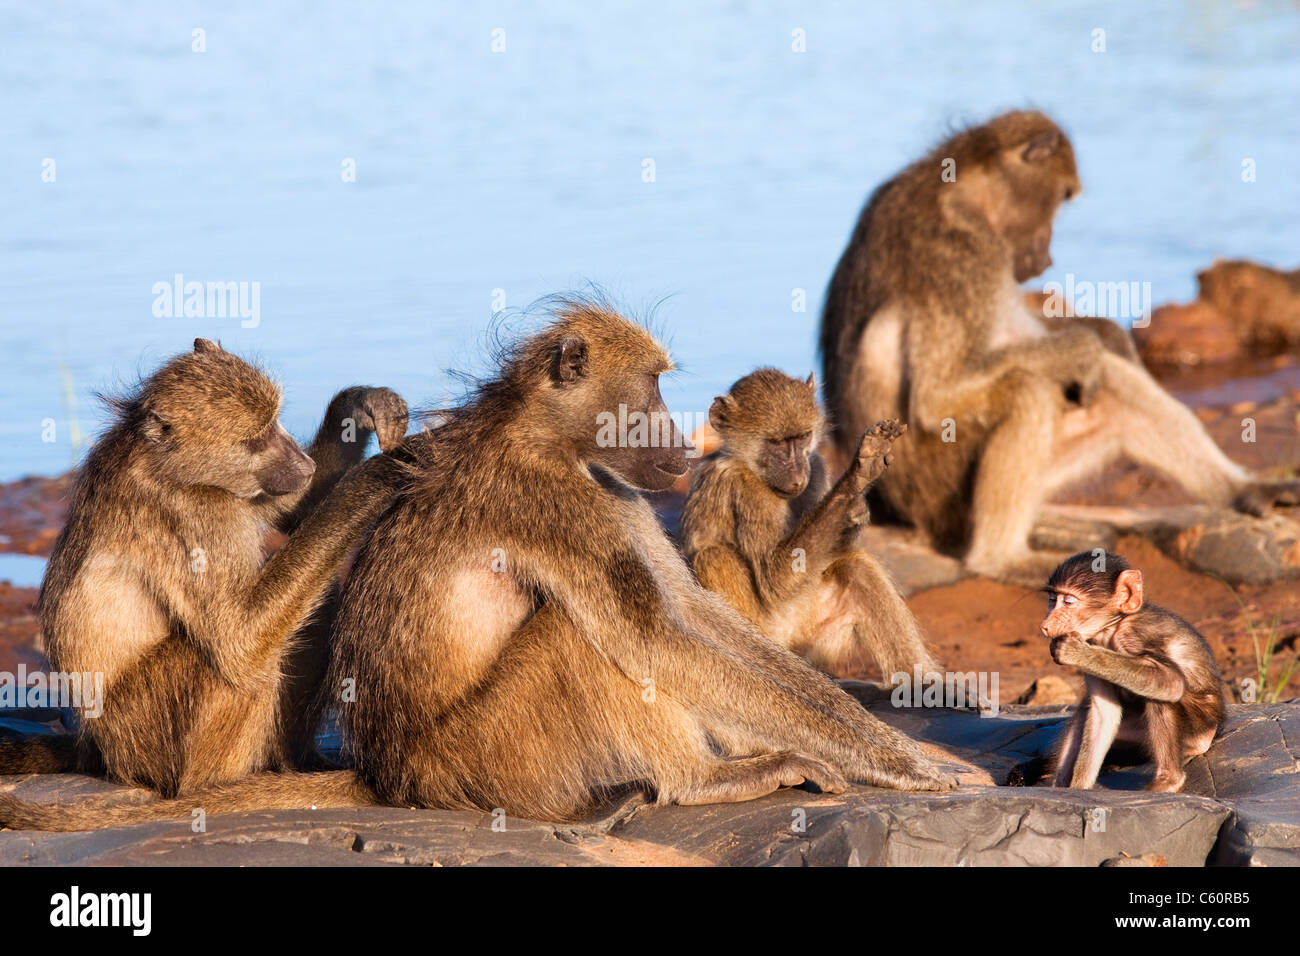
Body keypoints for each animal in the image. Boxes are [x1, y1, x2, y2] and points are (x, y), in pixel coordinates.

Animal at [0, 339, 408, 800]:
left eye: (275, 422)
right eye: (254, 439)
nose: (304, 466)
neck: (169, 464)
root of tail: (100, 752)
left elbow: (296, 506)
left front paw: (362, 404)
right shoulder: (198, 513)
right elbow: (239, 640)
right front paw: (375, 476)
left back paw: (295, 762)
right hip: (152, 734)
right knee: (242, 661)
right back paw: (217, 785)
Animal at [679, 368, 939, 681]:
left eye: (802, 437)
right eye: (777, 443)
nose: (797, 475)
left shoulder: (816, 466)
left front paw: (856, 508)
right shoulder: (745, 490)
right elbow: (774, 580)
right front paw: (855, 479)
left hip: (813, 638)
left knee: (856, 569)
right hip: (769, 634)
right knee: (714, 557)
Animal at [818, 110, 1300, 582]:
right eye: (1061, 197)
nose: (1047, 257)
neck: (960, 190)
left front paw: (1103, 333)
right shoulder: (961, 253)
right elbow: (939, 397)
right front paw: (1084, 347)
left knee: (1108, 385)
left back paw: (1247, 491)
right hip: (937, 488)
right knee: (1028, 390)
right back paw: (1002, 559)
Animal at [1040, 551, 1225, 792]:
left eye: (1068, 601)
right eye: (1053, 600)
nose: (1046, 624)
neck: (1112, 626)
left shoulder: (1133, 635)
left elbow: (1172, 681)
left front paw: (1072, 651)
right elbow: (1103, 711)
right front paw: (1078, 789)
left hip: (1198, 725)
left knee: (1163, 693)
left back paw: (1169, 780)